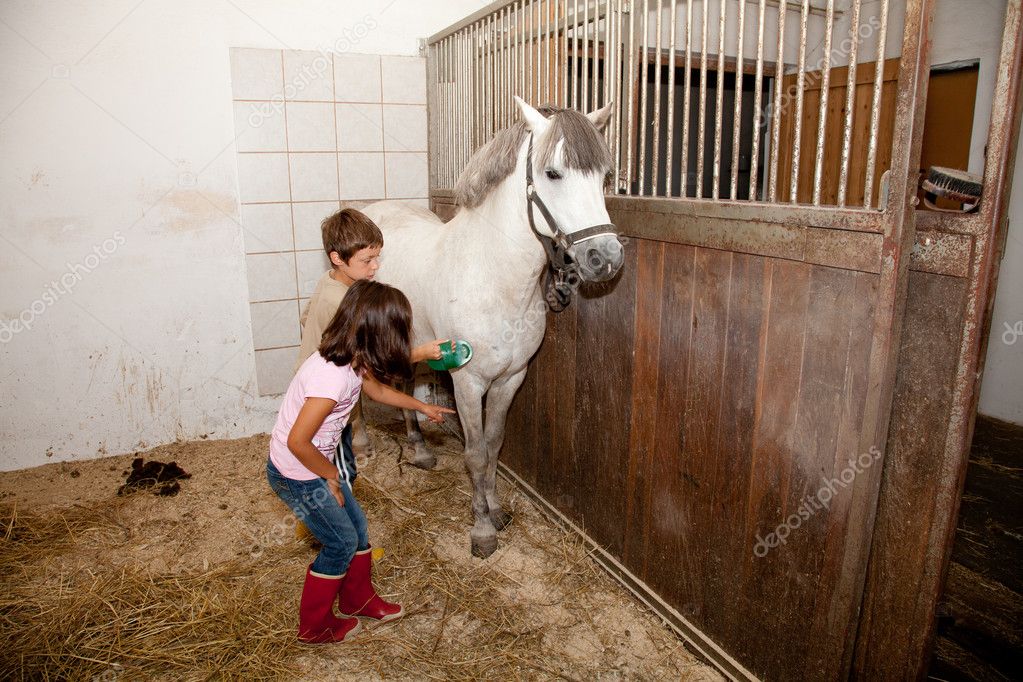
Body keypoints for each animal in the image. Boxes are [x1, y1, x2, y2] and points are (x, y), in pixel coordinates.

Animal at [361, 97, 624, 557]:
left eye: (604, 176)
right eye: (553, 173)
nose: (605, 258)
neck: (493, 279)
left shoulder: (510, 378)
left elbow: (494, 444)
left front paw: (497, 509)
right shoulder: (468, 382)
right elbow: (475, 454)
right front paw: (482, 529)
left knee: (407, 383)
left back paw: (420, 450)